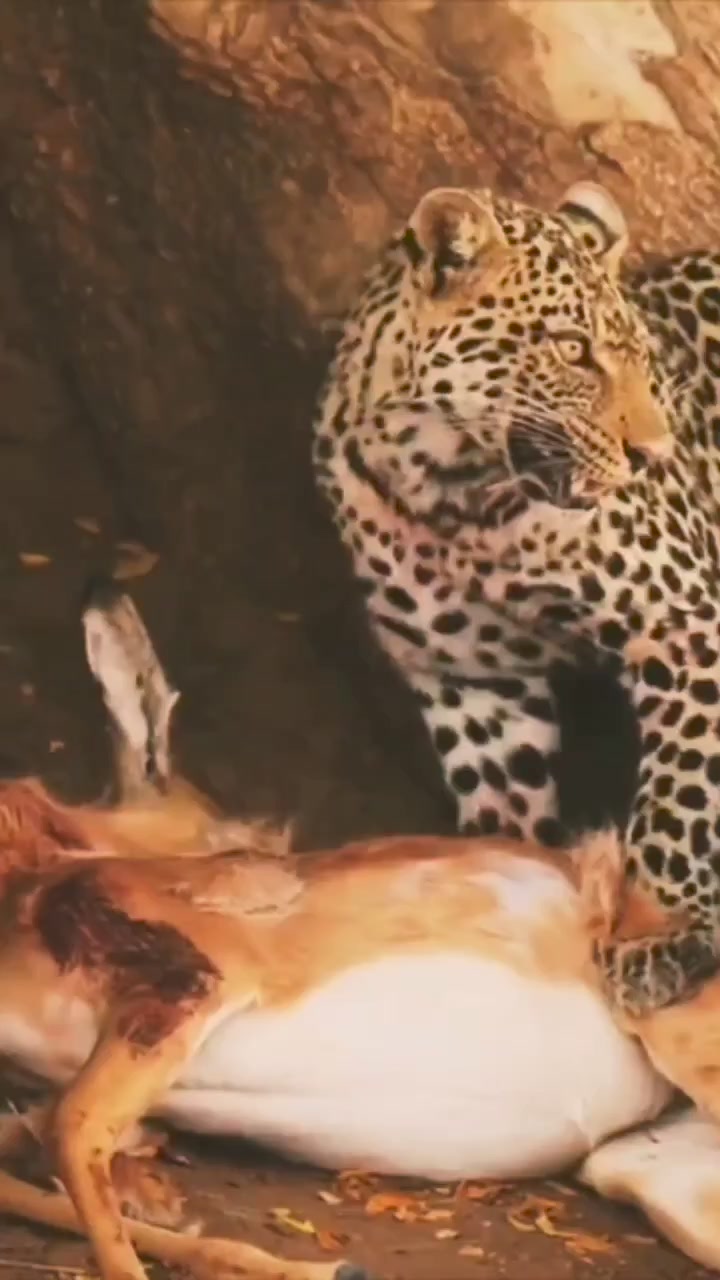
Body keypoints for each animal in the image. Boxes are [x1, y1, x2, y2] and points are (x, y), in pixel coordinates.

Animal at [312, 178, 720, 1020]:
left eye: (639, 358)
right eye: (572, 350)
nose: (652, 453)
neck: (449, 493)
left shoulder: (683, 626)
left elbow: (680, 804)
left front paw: (657, 938)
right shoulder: (474, 683)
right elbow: (505, 826)